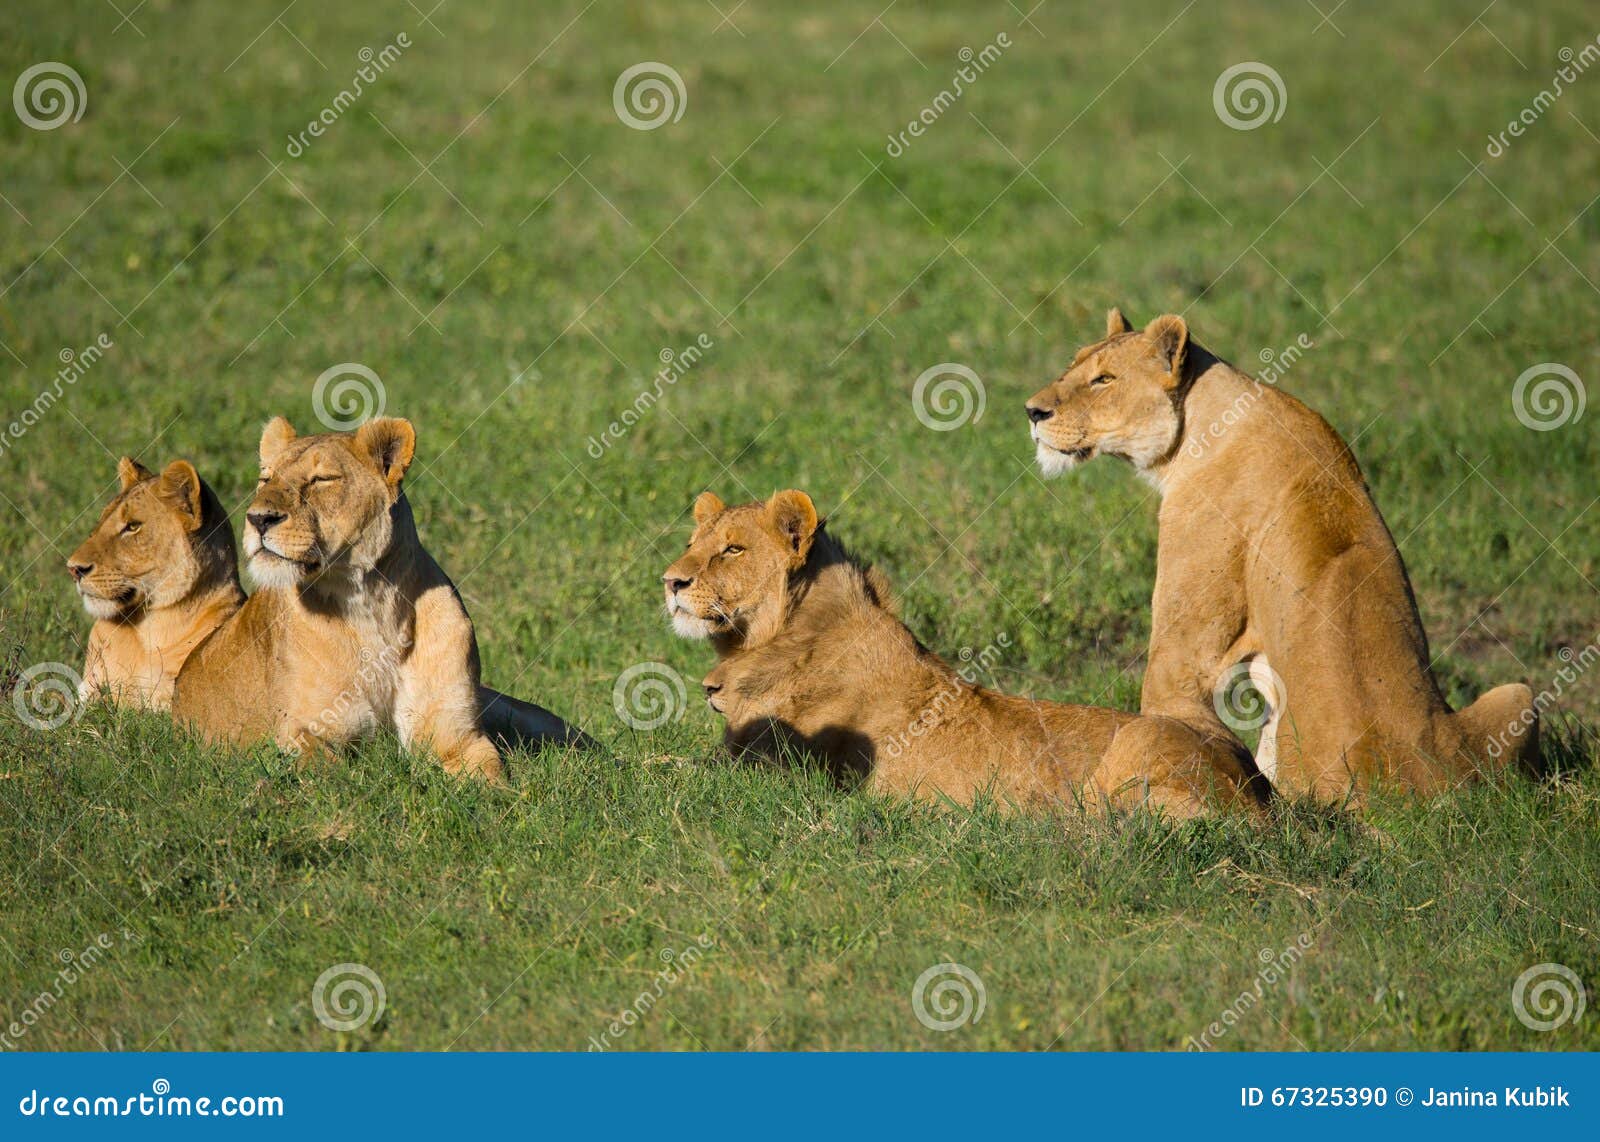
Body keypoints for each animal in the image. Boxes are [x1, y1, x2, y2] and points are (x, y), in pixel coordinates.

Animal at [148, 419, 591, 778]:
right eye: (265, 479)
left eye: (322, 480)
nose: (258, 519)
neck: (372, 607)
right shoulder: (303, 731)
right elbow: (331, 772)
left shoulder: (458, 736)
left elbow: (493, 780)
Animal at [661, 489, 1267, 819]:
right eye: (692, 543)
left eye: (732, 549)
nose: (670, 581)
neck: (775, 639)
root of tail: (1262, 799)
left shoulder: (776, 773)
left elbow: (664, 772)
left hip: (1141, 740)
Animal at [1024, 308, 1539, 801]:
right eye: (1074, 364)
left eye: (1104, 379)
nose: (1032, 411)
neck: (1201, 422)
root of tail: (1412, 795)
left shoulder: (1179, 667)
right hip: (1520, 695)